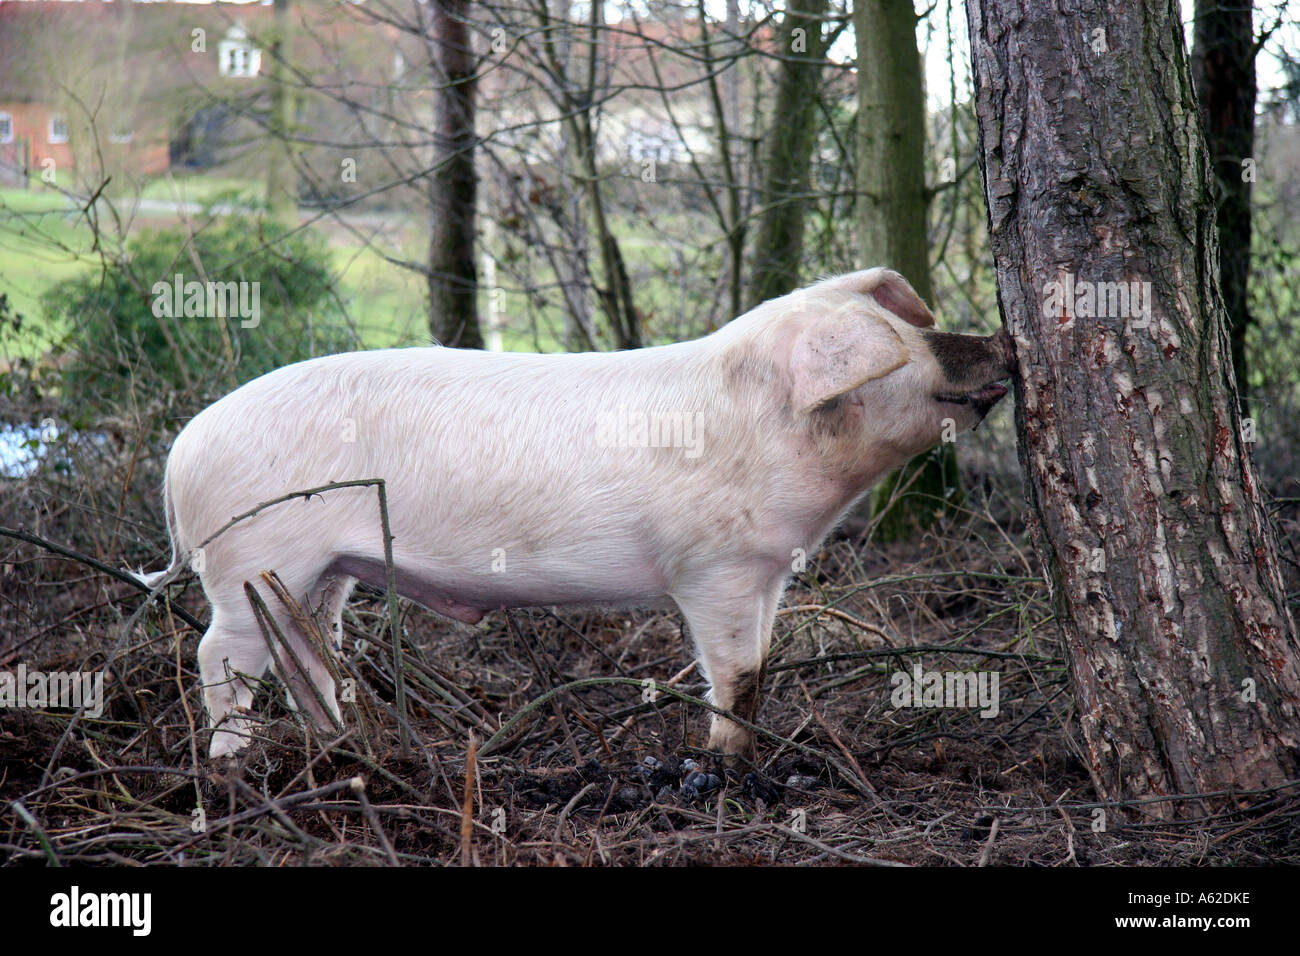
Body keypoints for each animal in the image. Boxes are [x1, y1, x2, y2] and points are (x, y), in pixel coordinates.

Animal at [136, 268, 1012, 760]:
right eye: (901, 340)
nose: (1006, 343)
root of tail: (181, 451)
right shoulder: (713, 567)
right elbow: (733, 674)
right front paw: (728, 767)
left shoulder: (767, 570)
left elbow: (761, 670)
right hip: (252, 554)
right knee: (220, 655)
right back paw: (234, 767)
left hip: (316, 572)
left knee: (306, 649)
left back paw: (341, 744)